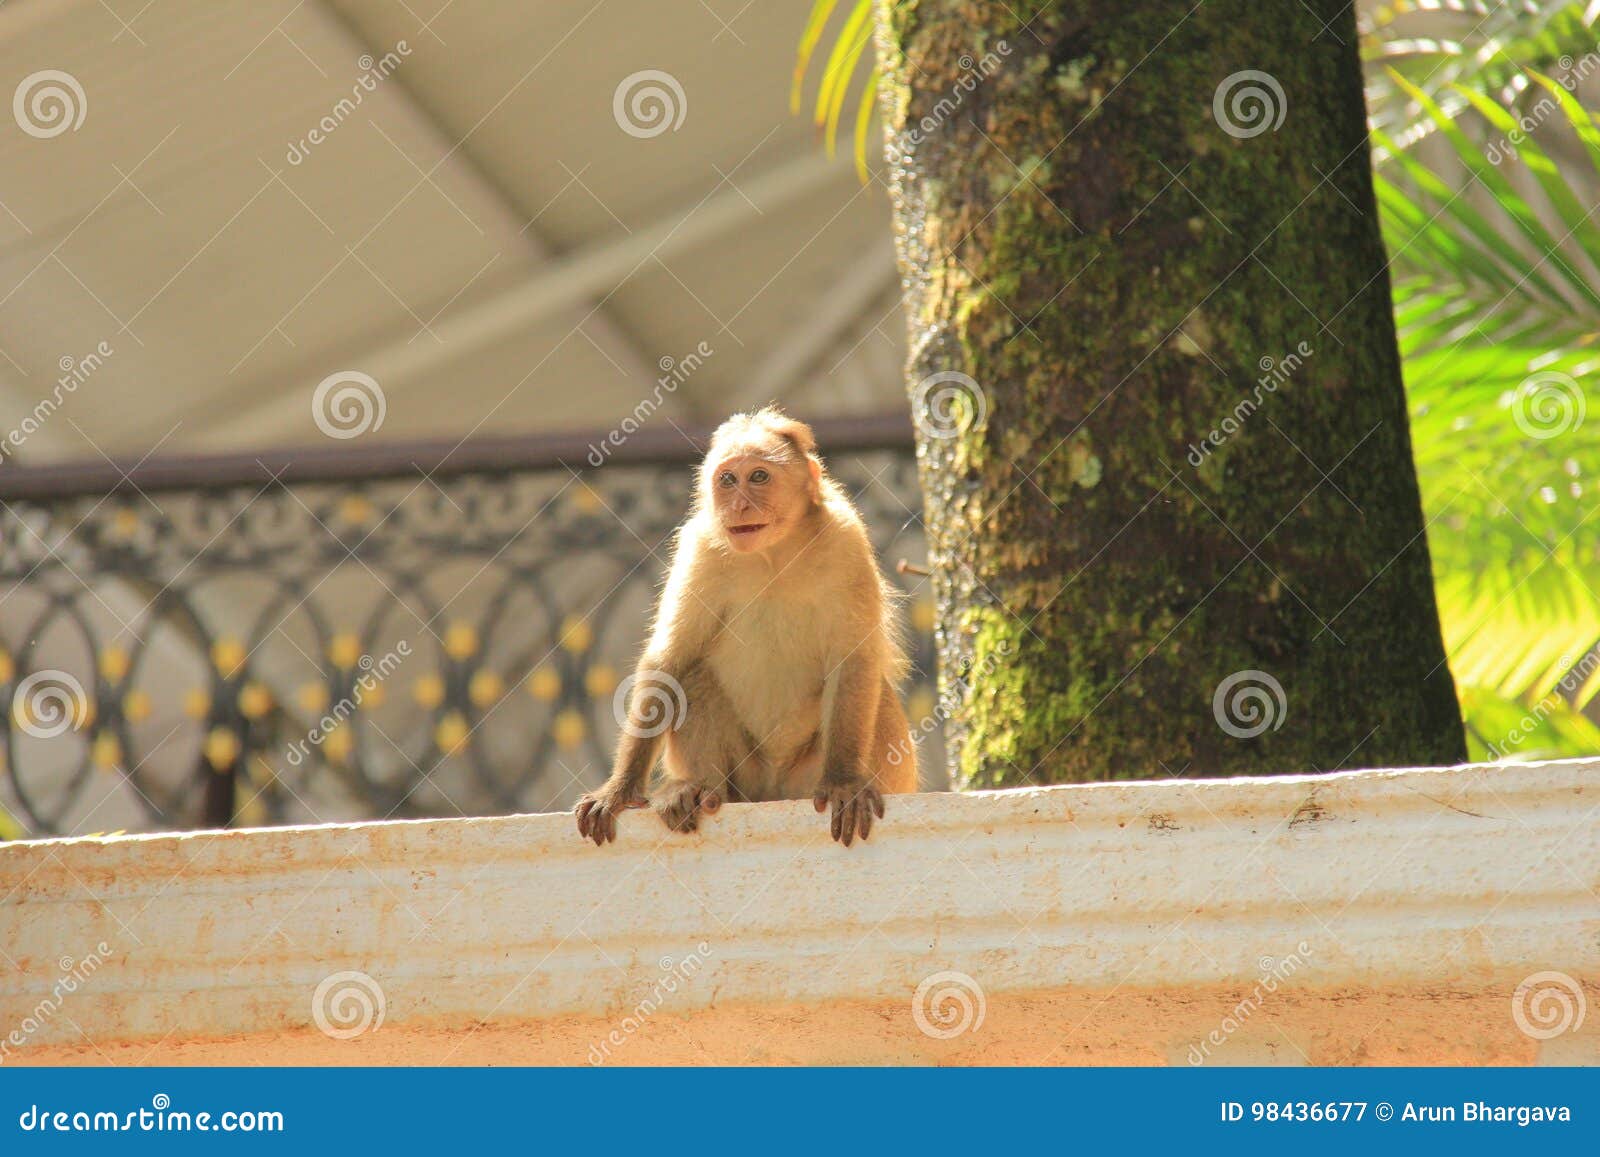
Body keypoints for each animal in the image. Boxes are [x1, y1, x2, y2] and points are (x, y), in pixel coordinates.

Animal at [575, 406, 917, 848]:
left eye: (758, 476)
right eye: (727, 480)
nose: (738, 505)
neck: (774, 554)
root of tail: (770, 792)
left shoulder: (846, 539)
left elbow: (854, 660)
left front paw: (844, 781)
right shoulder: (700, 546)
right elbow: (669, 660)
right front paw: (619, 789)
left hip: (805, 779)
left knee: (877, 691)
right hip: (745, 782)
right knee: (694, 676)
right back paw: (694, 792)